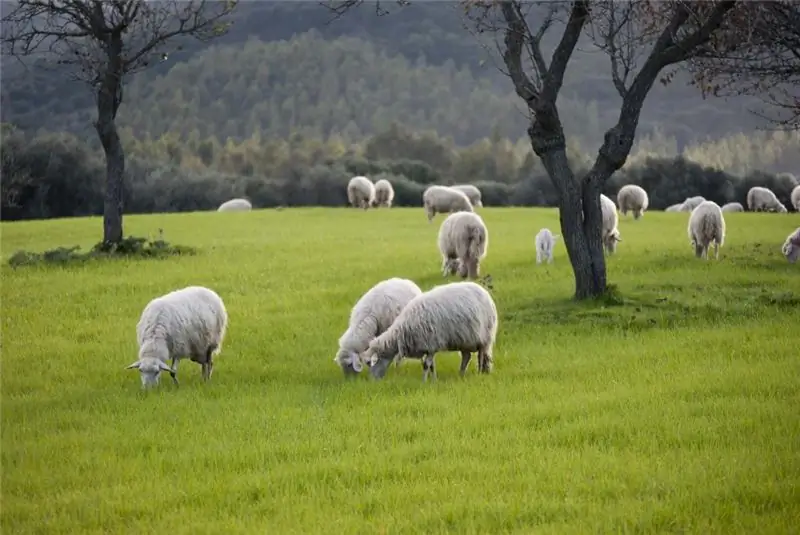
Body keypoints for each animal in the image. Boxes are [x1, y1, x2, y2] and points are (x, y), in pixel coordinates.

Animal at [364, 282, 500, 384]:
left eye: (372, 362)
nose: (372, 381)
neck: (402, 330)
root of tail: (485, 293)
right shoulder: (429, 347)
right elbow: (431, 366)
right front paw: (434, 380)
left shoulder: (431, 344)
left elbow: (426, 365)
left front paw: (424, 382)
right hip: (465, 340)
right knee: (467, 357)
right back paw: (461, 374)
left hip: (484, 337)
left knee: (481, 356)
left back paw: (479, 373)